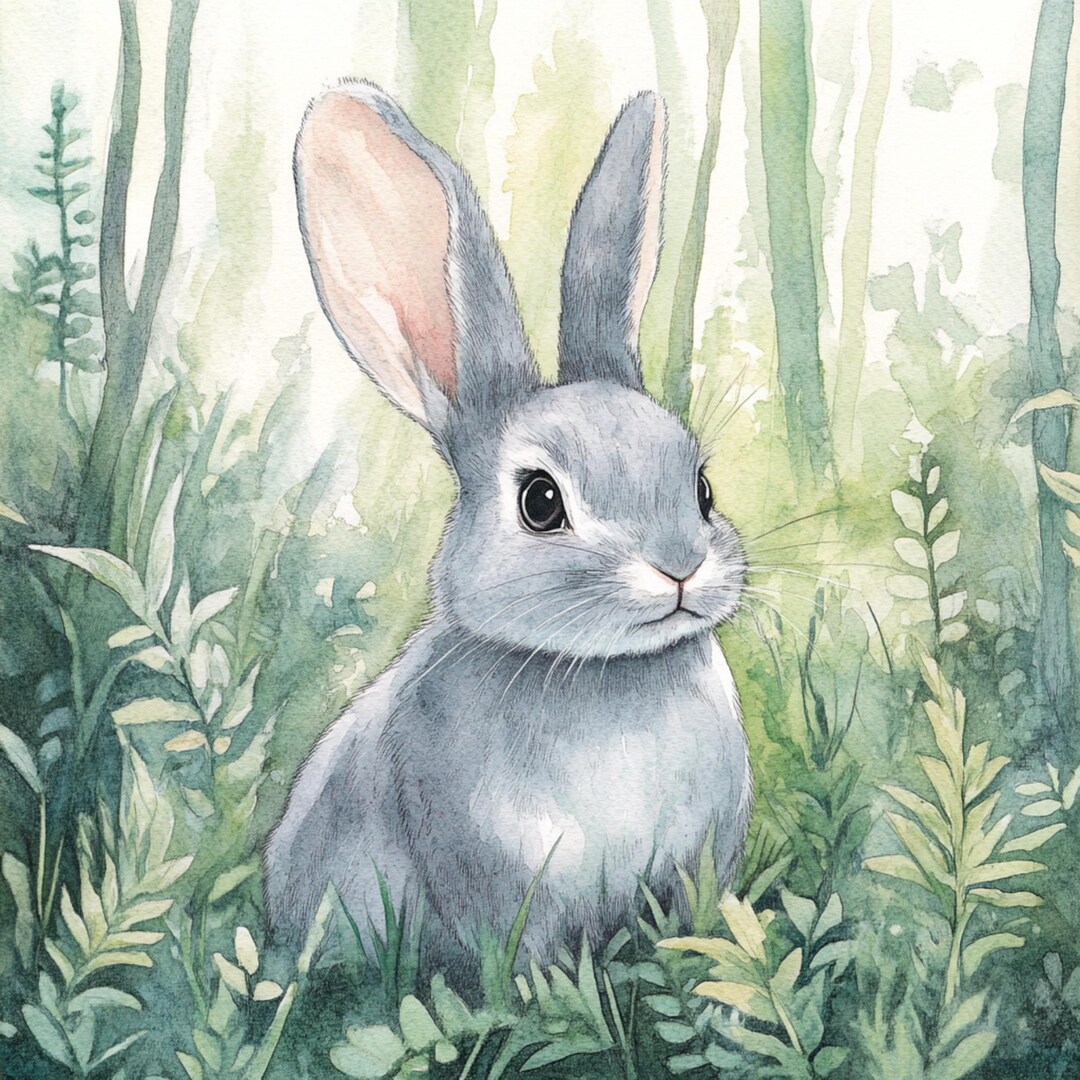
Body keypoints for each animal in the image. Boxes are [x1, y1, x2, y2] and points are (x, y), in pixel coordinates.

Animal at [263, 80, 752, 975]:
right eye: (540, 502)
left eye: (701, 487)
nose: (680, 567)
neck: (606, 675)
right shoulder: (494, 881)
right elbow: (524, 968)